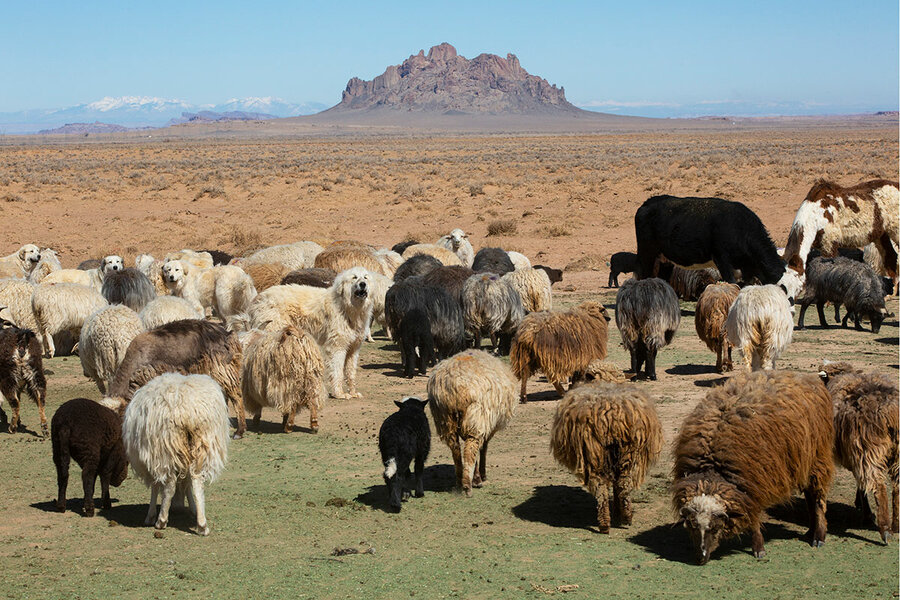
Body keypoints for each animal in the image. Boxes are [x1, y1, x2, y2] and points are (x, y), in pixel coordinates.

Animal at [123, 373, 229, 535]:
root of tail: (186, 410)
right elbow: (186, 484)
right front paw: (192, 508)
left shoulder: (151, 460)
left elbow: (155, 486)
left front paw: (151, 515)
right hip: (202, 445)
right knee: (197, 482)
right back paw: (202, 525)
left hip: (165, 449)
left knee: (170, 484)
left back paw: (161, 521)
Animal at [427, 350, 517, 496]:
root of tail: (453, 385)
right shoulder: (488, 425)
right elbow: (483, 448)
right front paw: (482, 475)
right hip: (476, 416)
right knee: (470, 448)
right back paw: (469, 486)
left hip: (445, 418)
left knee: (456, 449)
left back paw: (460, 481)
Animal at [550, 383, 663, 532]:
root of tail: (611, 416)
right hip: (623, 453)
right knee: (619, 484)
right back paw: (619, 519)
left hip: (601, 454)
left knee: (608, 487)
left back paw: (610, 521)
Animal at [673, 370, 833, 564]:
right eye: (692, 526)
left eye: (715, 528)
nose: (701, 559)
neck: (712, 468)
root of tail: (806, 377)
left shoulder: (754, 486)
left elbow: (754, 519)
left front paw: (758, 548)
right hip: (805, 464)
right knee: (810, 497)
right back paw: (810, 531)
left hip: (818, 458)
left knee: (817, 498)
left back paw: (819, 536)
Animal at [820, 362, 899, 542]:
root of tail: (890, 412)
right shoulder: (854, 454)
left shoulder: (857, 454)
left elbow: (861, 483)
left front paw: (865, 511)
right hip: (897, 453)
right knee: (897, 488)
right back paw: (896, 526)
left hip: (870, 451)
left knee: (879, 486)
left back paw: (885, 529)